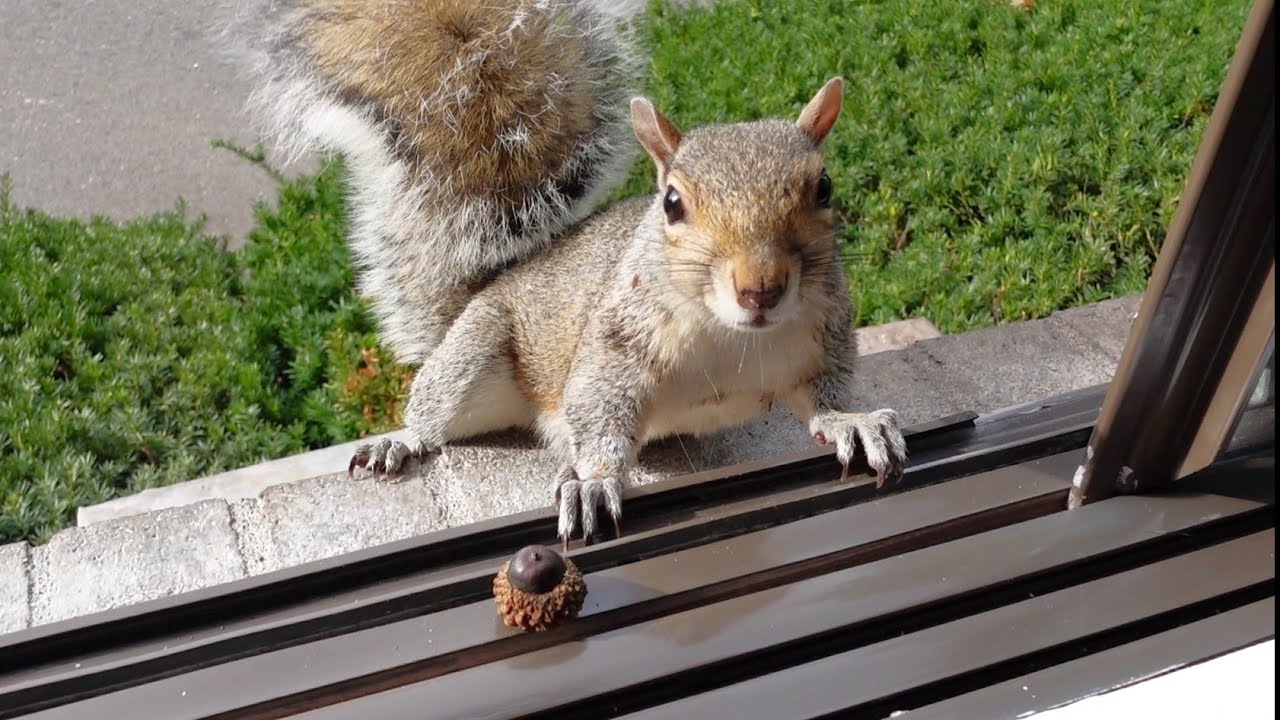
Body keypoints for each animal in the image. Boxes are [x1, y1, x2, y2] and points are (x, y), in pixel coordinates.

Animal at [232, 0, 907, 547]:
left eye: (824, 188)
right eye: (671, 203)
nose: (759, 287)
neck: (730, 336)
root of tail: (497, 280)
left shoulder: (823, 338)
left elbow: (822, 398)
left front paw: (853, 424)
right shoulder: (615, 345)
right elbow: (596, 414)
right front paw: (593, 481)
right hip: (475, 351)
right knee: (434, 410)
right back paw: (400, 441)